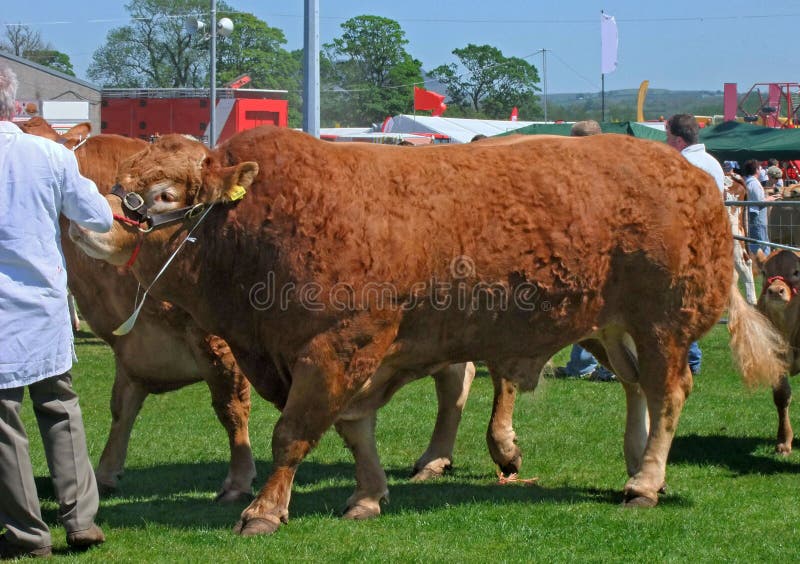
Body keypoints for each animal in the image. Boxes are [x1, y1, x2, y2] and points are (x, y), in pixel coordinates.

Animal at [70, 127, 787, 537]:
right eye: (125, 179)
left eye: (165, 196)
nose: (103, 216)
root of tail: (695, 177)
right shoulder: (348, 354)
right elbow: (354, 427)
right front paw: (368, 495)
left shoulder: (338, 345)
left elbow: (292, 433)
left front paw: (264, 510)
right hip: (611, 324)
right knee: (638, 388)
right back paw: (637, 463)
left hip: (666, 317)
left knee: (669, 392)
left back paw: (644, 484)